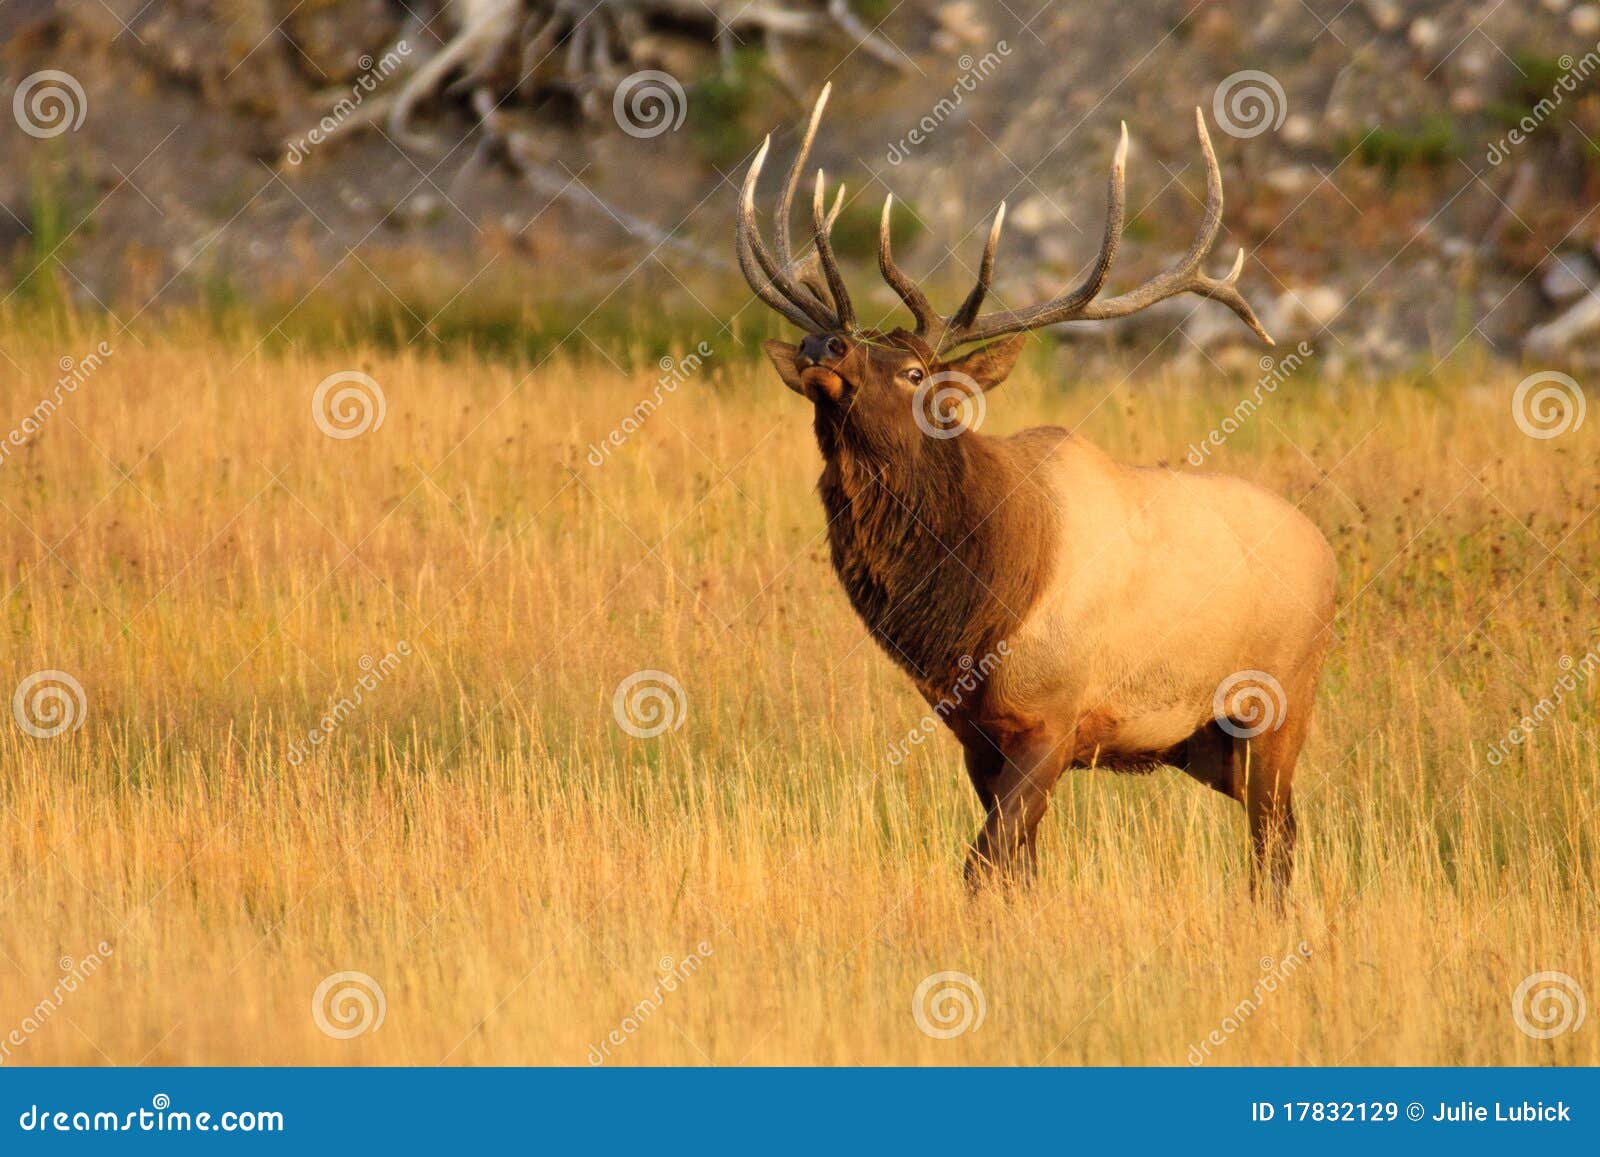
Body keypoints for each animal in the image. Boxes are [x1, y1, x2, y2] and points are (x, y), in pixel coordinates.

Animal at [736, 86, 1336, 902]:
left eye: (916, 372)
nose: (820, 344)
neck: (974, 611)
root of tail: (1330, 554)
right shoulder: (975, 735)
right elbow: (1015, 869)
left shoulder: (1053, 719)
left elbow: (982, 866)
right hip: (1207, 746)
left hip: (1276, 709)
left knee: (1273, 842)